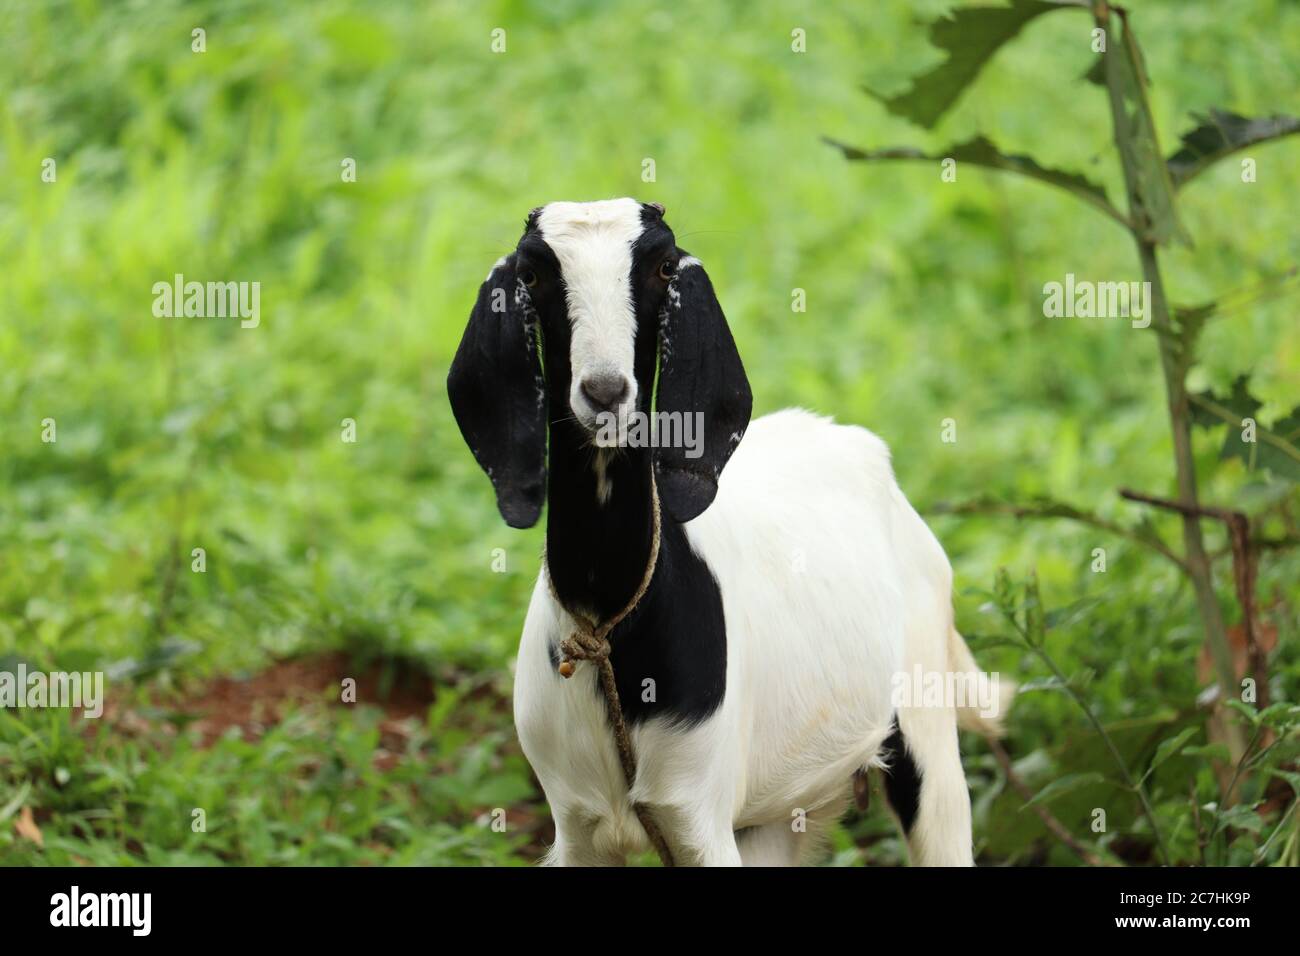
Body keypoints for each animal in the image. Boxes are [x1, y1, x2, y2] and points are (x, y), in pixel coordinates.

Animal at [448, 198, 1011, 866]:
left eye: (664, 265)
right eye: (532, 273)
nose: (605, 393)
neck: (609, 620)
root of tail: (856, 445)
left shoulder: (698, 813)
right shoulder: (577, 824)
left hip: (926, 724)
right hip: (781, 810)